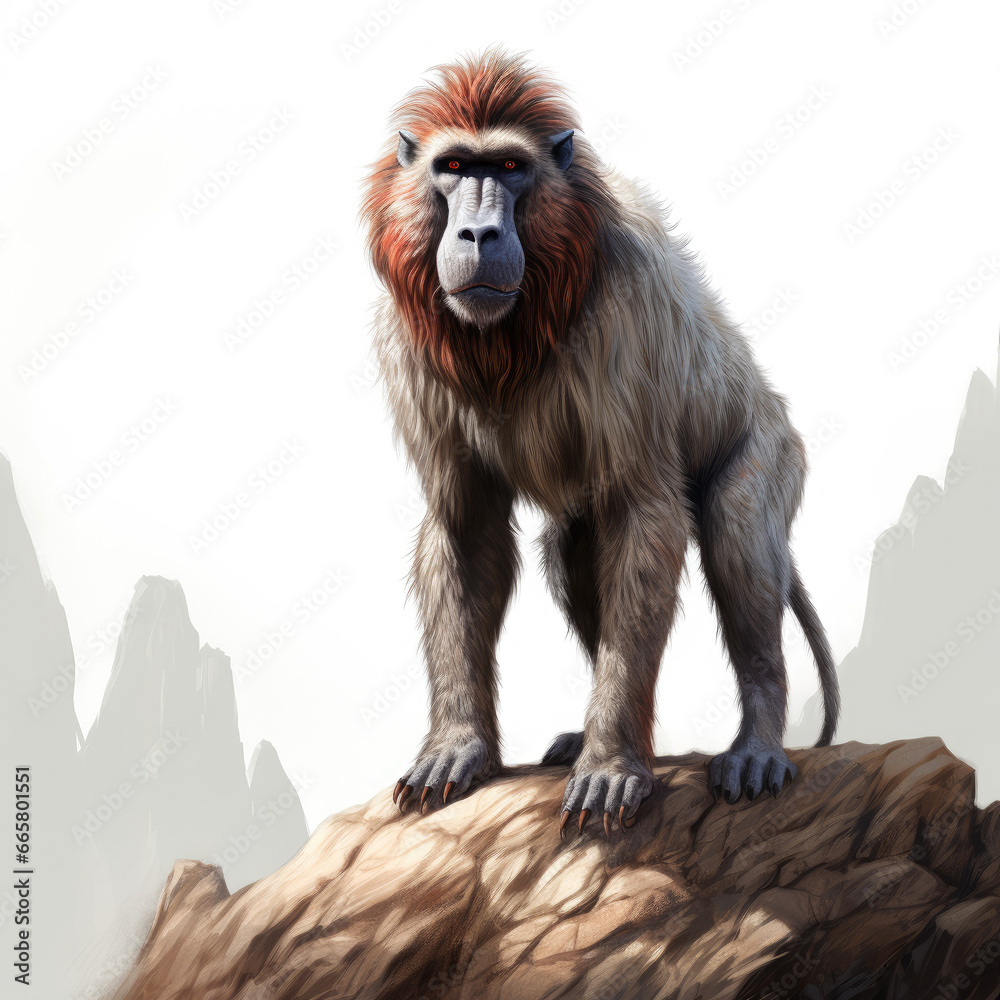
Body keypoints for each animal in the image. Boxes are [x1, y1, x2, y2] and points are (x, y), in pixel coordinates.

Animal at [361, 47, 839, 835]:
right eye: (455, 167)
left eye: (510, 168)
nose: (478, 235)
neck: (516, 331)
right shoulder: (408, 344)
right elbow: (466, 527)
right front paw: (458, 747)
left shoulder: (628, 306)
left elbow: (645, 512)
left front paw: (613, 768)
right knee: (574, 552)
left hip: (775, 453)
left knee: (736, 531)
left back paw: (757, 745)